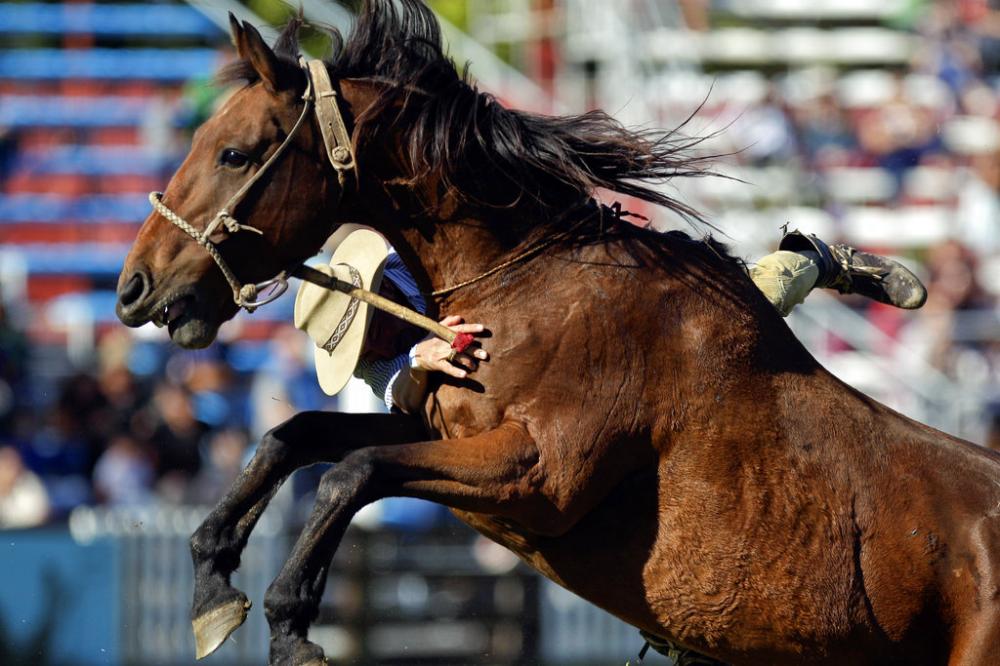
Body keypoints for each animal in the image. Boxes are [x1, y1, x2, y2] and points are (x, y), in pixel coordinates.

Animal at [115, 2, 1000, 664]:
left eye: (235, 152)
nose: (133, 289)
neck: (534, 287)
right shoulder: (442, 428)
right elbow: (295, 436)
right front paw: (212, 582)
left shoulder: (541, 479)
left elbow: (351, 472)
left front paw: (291, 619)